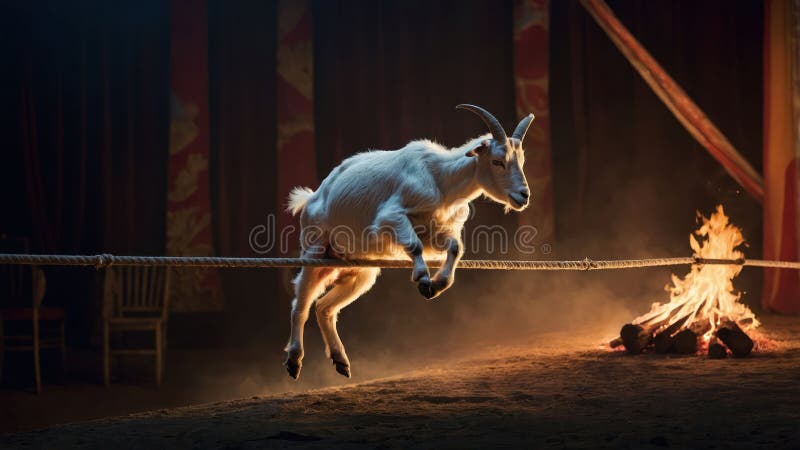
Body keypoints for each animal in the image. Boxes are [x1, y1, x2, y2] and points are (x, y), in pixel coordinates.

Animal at [284, 104, 534, 379]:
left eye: (522, 161)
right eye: (497, 161)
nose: (523, 195)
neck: (441, 179)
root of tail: (310, 199)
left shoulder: (434, 231)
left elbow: (454, 247)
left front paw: (438, 284)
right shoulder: (392, 216)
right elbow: (414, 246)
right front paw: (423, 279)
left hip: (359, 272)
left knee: (324, 308)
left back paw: (341, 362)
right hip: (315, 250)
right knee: (300, 305)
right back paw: (294, 361)